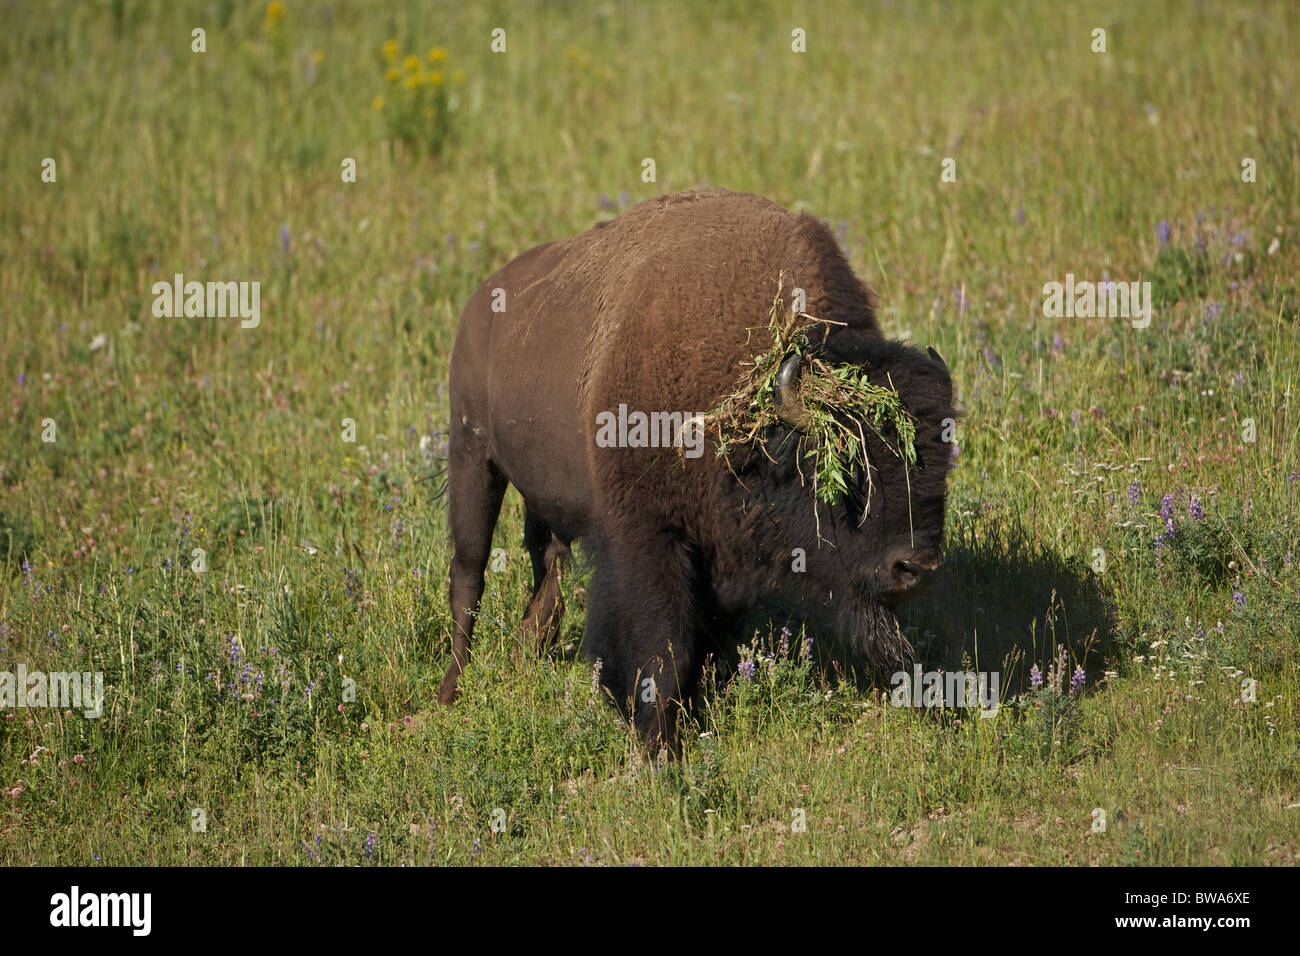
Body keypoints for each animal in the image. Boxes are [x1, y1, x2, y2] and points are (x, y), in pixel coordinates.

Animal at [438, 189, 955, 753]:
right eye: (842, 465)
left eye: (943, 465)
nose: (917, 568)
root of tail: (479, 302)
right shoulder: (648, 539)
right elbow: (663, 648)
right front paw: (659, 747)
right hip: (473, 457)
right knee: (468, 576)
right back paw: (451, 692)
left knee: (547, 572)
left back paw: (522, 657)